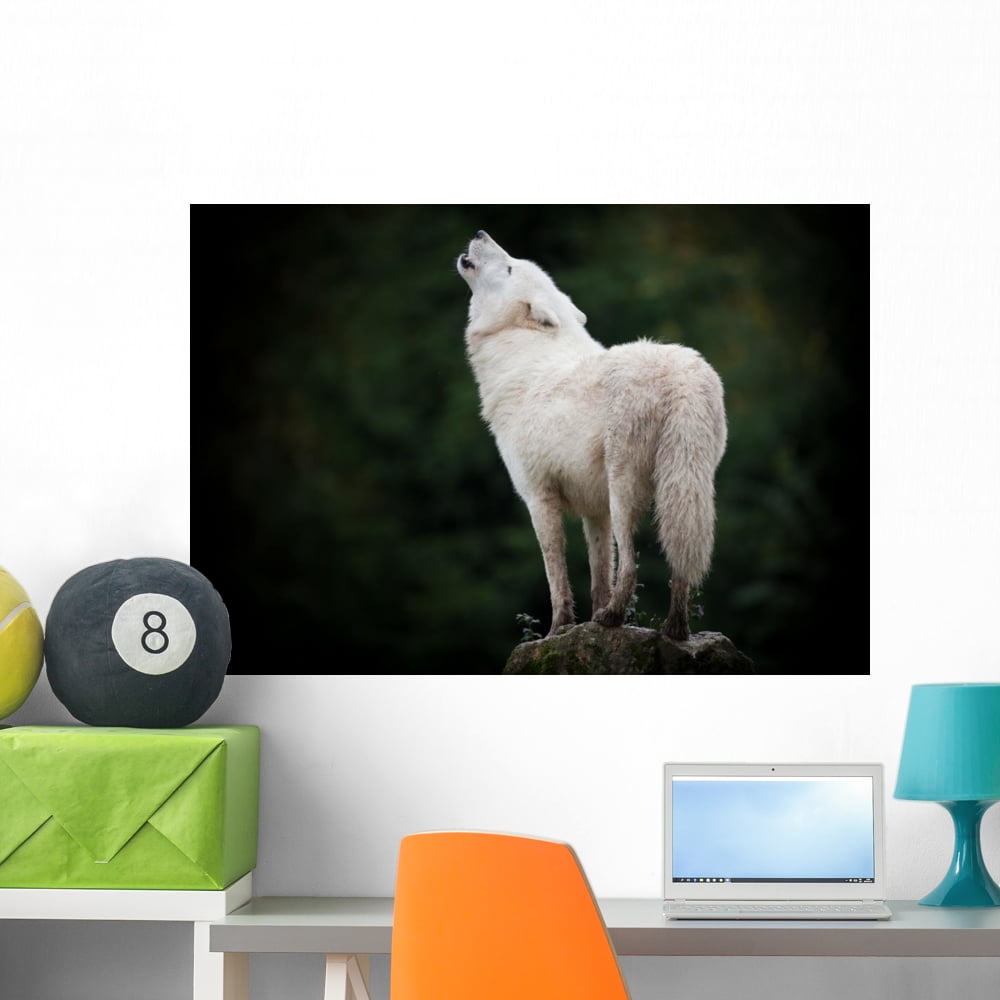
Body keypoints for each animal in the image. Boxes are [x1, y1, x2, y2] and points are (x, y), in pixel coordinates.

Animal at [458, 230, 727, 642]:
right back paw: (673, 630)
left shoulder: (538, 498)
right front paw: (586, 627)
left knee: (632, 565)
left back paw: (614, 618)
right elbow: (599, 575)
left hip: (625, 491)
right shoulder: (594, 510)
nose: (480, 233)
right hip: (684, 488)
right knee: (679, 563)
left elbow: (557, 576)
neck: (521, 356)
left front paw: (559, 630)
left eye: (509, 266)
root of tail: (682, 377)